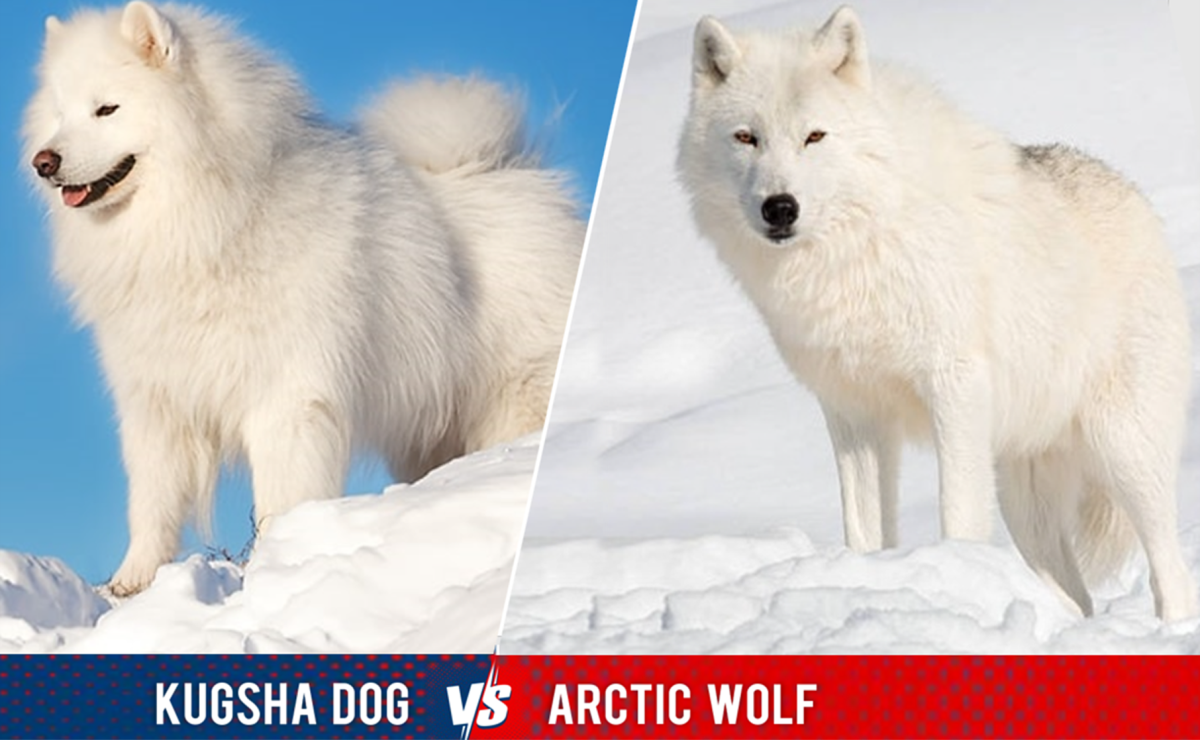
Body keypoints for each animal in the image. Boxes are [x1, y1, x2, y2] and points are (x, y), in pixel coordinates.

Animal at [23, 2, 582, 596]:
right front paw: (129, 585)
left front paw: (272, 570)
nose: (44, 161)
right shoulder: (159, 404)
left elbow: (279, 499)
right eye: (59, 114)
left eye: (107, 108)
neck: (211, 221)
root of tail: (517, 178)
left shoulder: (288, 400)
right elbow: (151, 504)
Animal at [677, 6, 1196, 621]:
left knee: (1171, 574)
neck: (858, 246)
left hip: (1124, 453)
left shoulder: (954, 385)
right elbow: (865, 530)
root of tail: (1138, 200)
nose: (780, 208)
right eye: (746, 137)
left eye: (814, 136)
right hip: (1025, 498)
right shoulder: (853, 412)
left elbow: (958, 514)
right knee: (1077, 599)